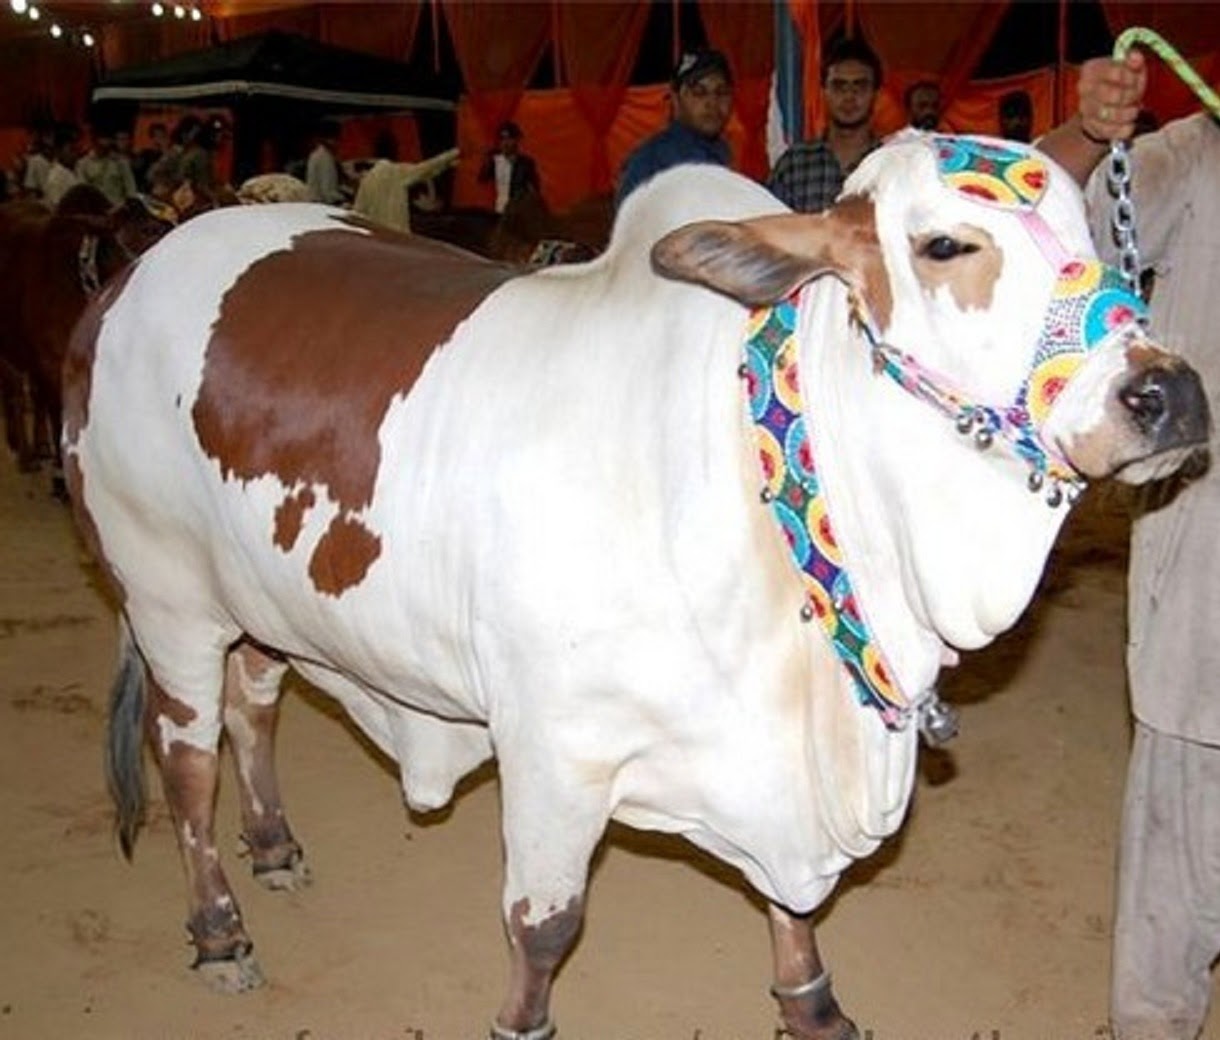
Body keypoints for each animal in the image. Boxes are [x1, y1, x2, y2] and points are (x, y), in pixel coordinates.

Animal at [63, 133, 1209, 1040]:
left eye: (1099, 238)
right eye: (942, 245)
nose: (1167, 392)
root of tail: (124, 282)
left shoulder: (765, 757)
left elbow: (792, 904)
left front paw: (812, 1005)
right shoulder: (553, 748)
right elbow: (545, 924)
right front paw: (520, 1023)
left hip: (258, 605)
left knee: (254, 710)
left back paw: (274, 846)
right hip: (168, 598)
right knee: (188, 762)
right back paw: (219, 927)